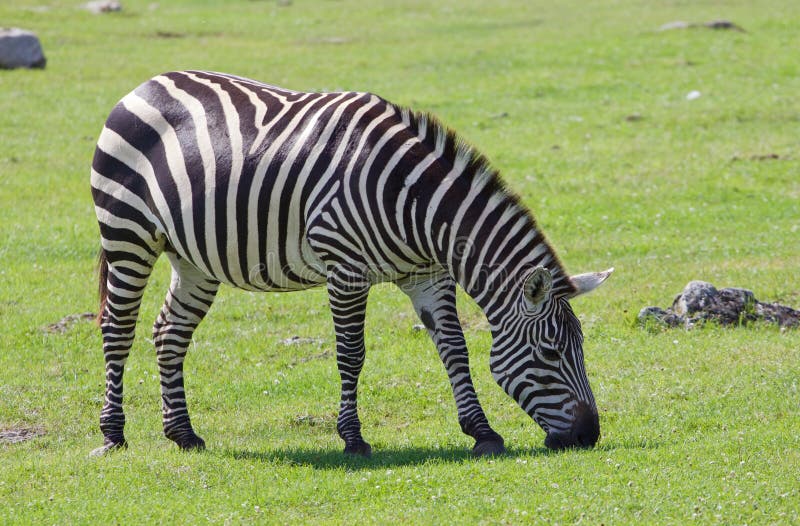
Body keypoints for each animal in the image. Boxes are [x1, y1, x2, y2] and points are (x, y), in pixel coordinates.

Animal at [90, 70, 613, 457]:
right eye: (550, 354)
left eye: (581, 350)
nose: (588, 437)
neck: (414, 203)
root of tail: (148, 83)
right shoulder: (346, 270)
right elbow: (351, 354)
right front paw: (353, 438)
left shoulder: (428, 276)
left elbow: (455, 348)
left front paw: (482, 432)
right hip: (128, 233)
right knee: (118, 329)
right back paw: (113, 435)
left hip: (193, 258)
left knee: (169, 333)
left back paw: (182, 433)